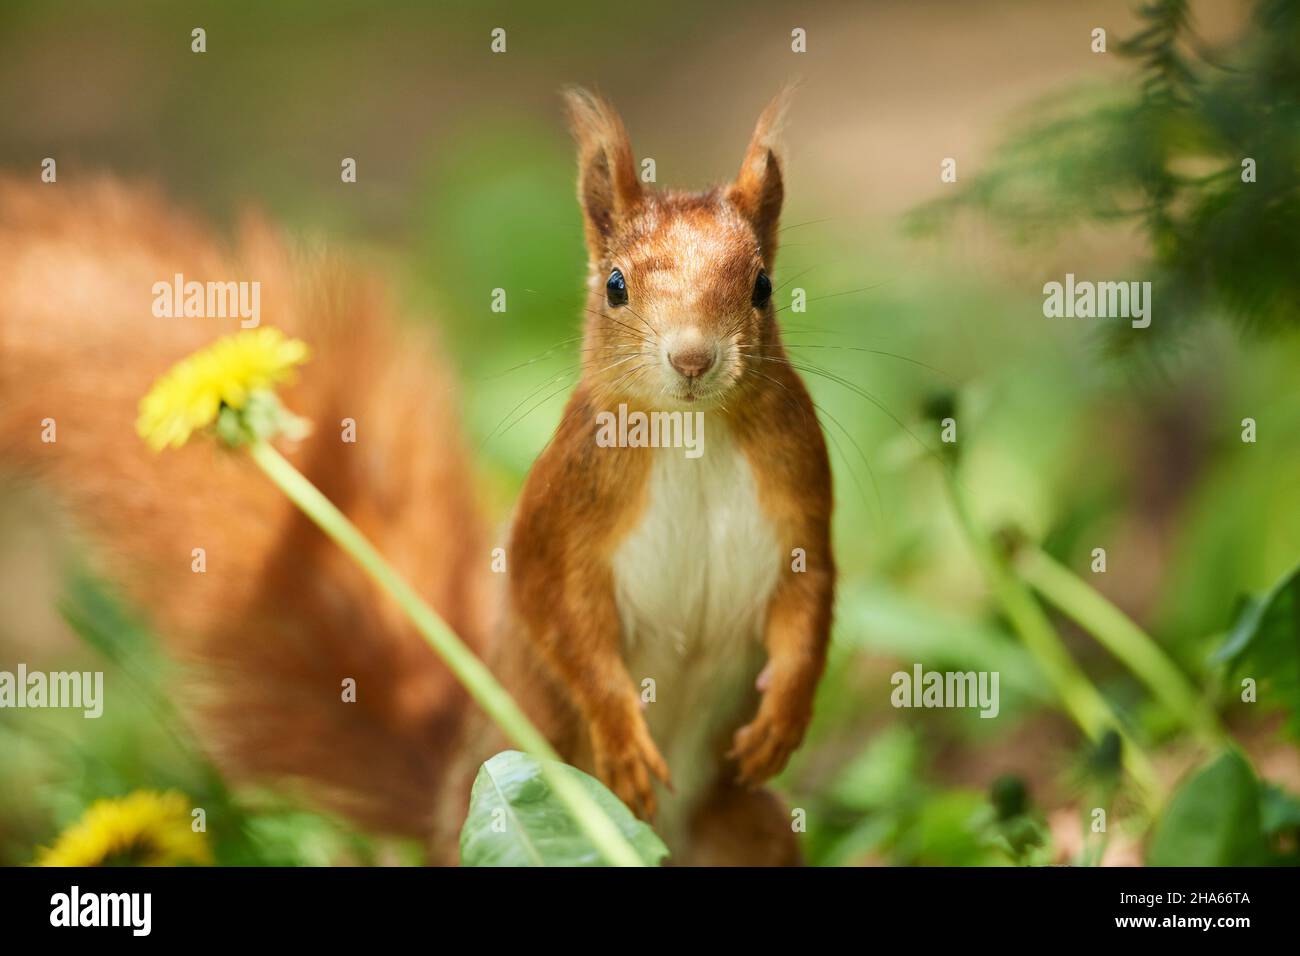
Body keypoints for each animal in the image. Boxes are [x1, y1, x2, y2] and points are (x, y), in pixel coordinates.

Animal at [0, 89, 834, 866]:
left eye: (762, 285)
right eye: (617, 286)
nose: (693, 359)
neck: (691, 438)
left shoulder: (800, 498)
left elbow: (809, 605)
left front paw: (785, 718)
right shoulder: (559, 518)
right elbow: (559, 617)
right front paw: (622, 734)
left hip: (748, 831)